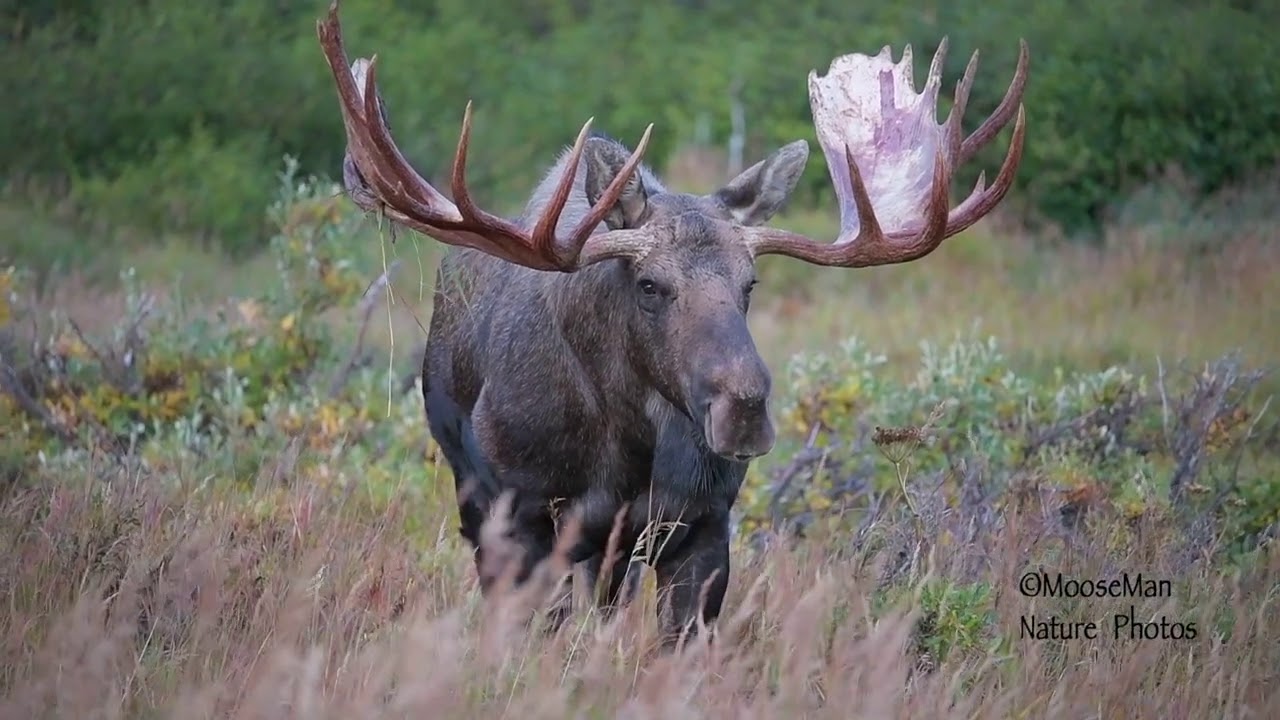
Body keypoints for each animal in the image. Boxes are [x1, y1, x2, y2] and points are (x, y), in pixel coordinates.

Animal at [316, 0, 1027, 648]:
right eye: (650, 285)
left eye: (750, 284)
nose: (743, 408)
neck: (626, 448)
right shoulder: (526, 518)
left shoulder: (702, 526)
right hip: (475, 495)